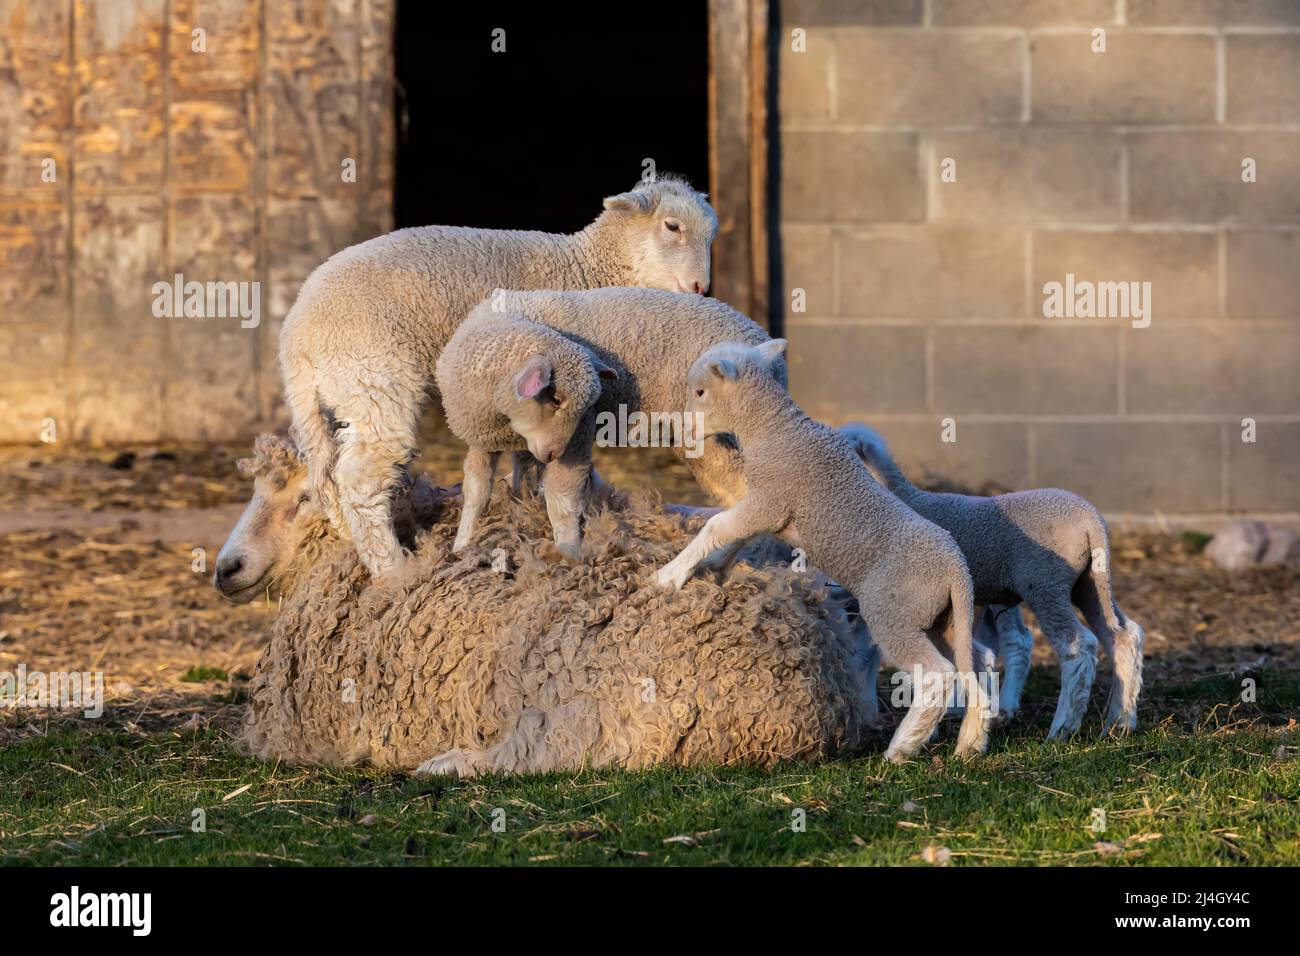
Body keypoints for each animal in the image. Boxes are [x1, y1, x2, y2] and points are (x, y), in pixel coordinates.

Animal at [278, 175, 719, 579]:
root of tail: (297, 334)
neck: (587, 267)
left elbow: (525, 451)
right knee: (361, 479)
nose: (700, 287)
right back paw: (393, 569)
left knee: (329, 477)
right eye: (672, 226)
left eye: (711, 233)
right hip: (376, 380)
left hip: (337, 395)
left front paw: (523, 496)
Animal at [434, 286, 780, 556]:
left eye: (584, 404)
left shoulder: (577, 437)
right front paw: (462, 545)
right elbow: (477, 492)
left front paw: (567, 554)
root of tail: (760, 337)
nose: (553, 453)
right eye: (554, 398)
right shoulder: (484, 439)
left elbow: (561, 499)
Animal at [654, 342, 991, 763]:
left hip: (894, 612)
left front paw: (670, 575)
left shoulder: (770, 501)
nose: (679, 429)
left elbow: (717, 526)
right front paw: (712, 566)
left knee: (938, 674)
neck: (772, 428)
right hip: (943, 618)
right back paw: (972, 740)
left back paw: (902, 747)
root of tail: (956, 569)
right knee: (977, 661)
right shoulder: (765, 509)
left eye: (699, 392)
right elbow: (733, 536)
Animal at [838, 422, 1145, 737]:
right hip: (1091, 582)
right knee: (1123, 635)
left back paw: (1062, 728)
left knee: (1078, 646)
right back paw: (1120, 721)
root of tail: (1092, 521)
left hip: (1046, 583)